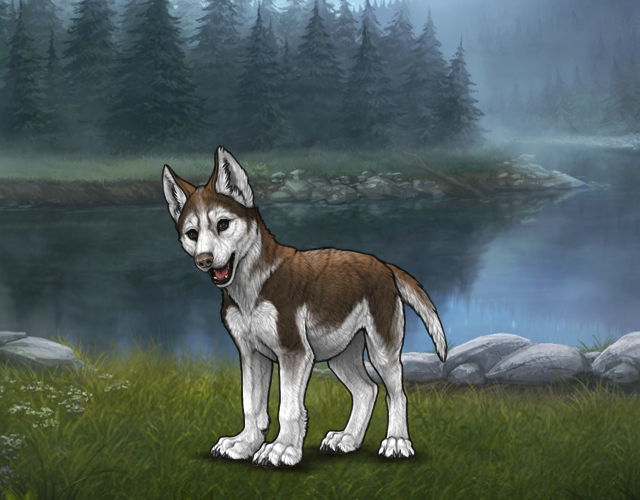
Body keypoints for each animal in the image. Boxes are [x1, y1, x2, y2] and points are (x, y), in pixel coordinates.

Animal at [162, 146, 447, 468]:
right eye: (192, 234)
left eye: (223, 224)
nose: (205, 261)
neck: (252, 288)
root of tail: (384, 265)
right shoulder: (251, 355)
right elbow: (251, 406)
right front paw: (245, 444)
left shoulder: (294, 353)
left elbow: (289, 409)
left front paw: (281, 449)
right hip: (340, 356)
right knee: (367, 390)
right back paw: (347, 440)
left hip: (382, 352)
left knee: (396, 394)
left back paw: (397, 442)